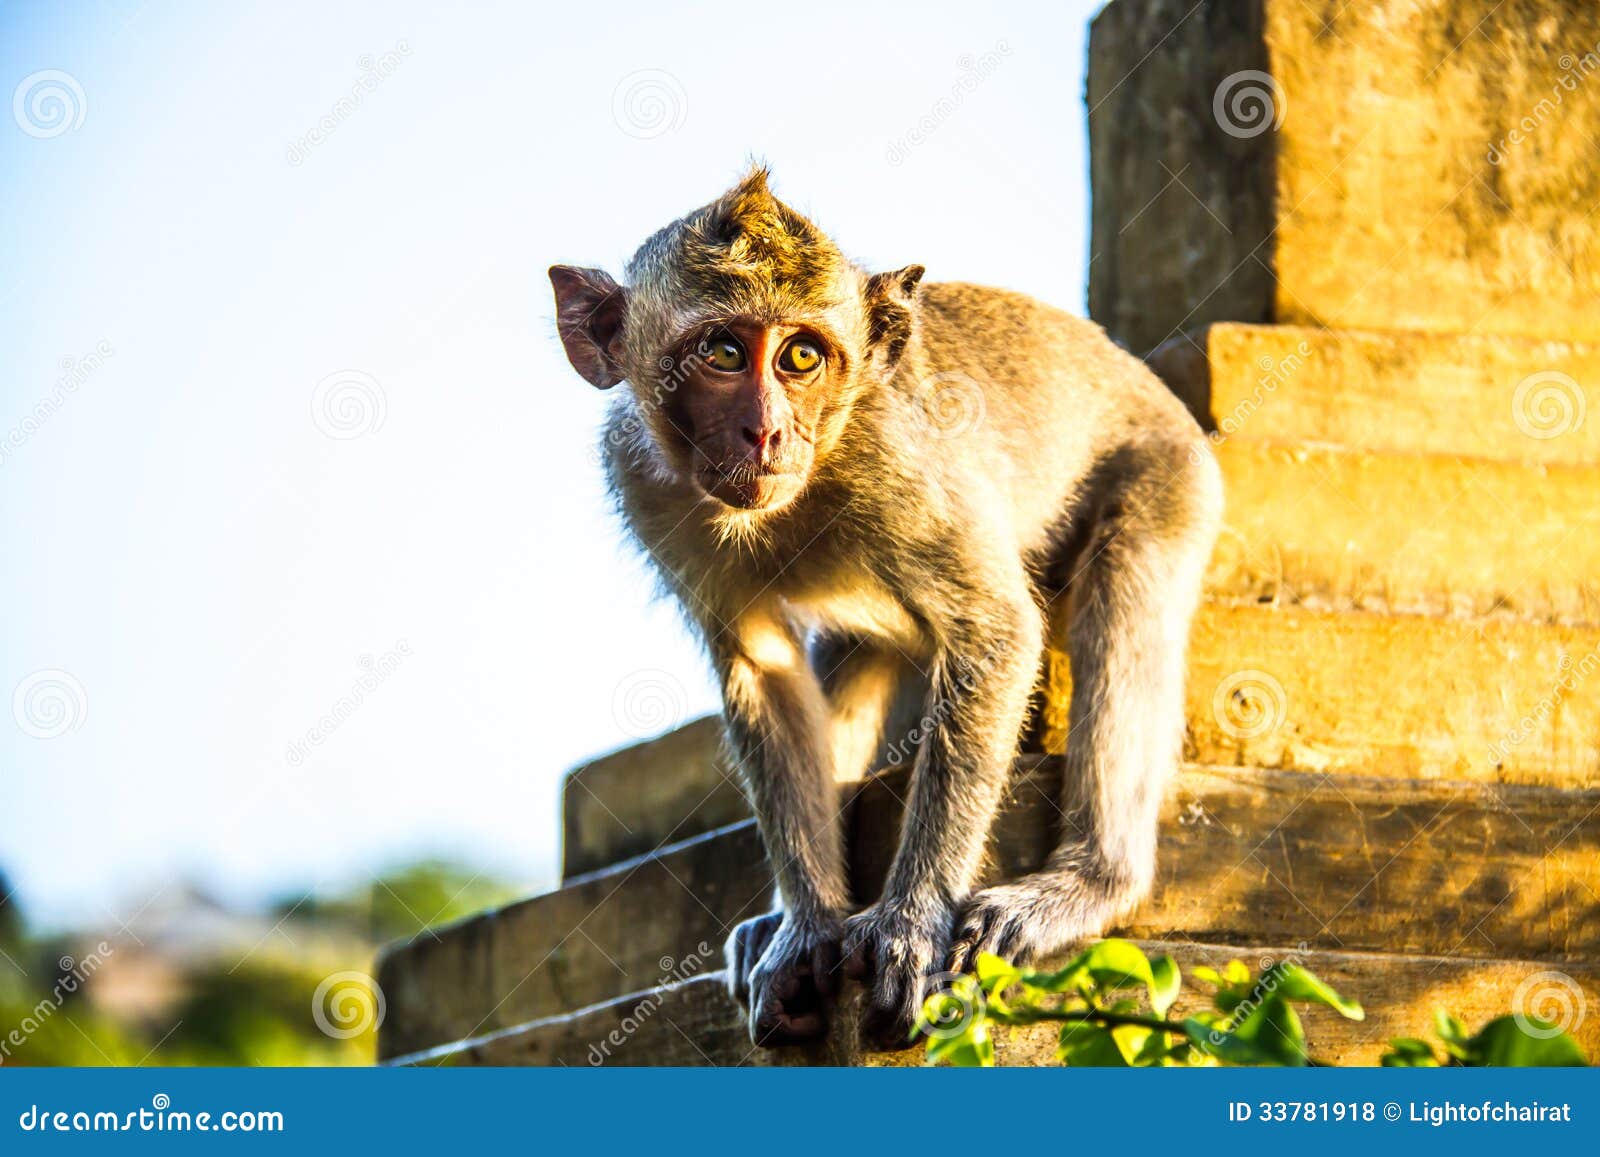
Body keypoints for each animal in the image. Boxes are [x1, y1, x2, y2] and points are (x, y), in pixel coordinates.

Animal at [549, 168, 1222, 1051]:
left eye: (800, 356)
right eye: (723, 353)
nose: (766, 432)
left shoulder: (901, 464)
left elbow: (997, 633)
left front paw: (911, 920)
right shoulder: (643, 482)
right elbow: (763, 669)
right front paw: (805, 925)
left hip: (1168, 475)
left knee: (1126, 597)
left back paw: (1094, 880)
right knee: (853, 654)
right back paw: (776, 920)